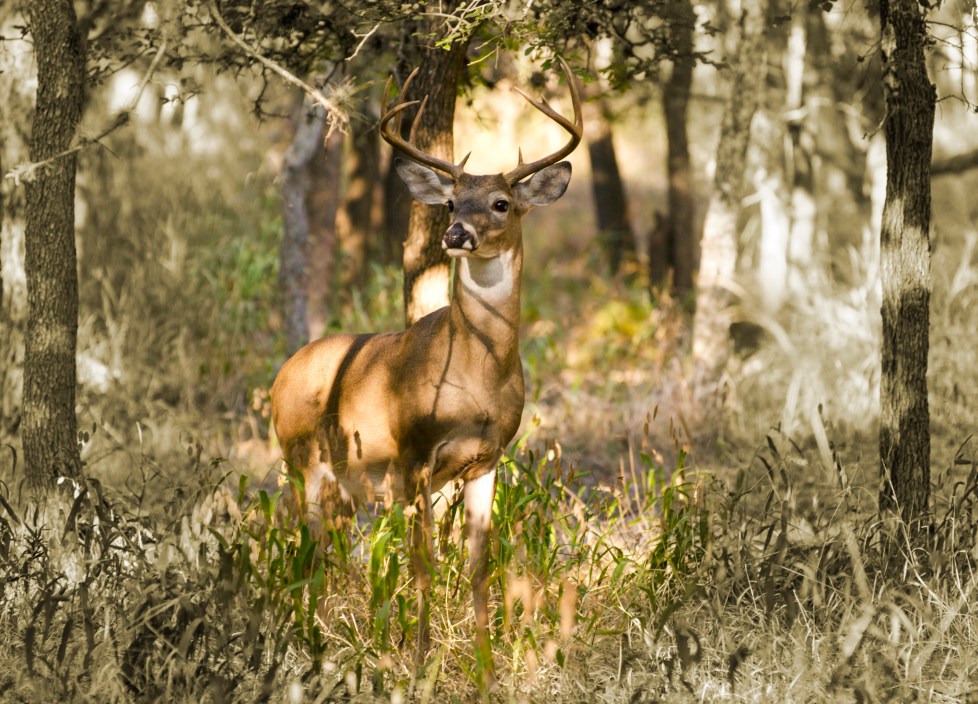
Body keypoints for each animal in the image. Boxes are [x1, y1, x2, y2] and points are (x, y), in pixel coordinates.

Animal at [269, 57, 582, 684]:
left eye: (501, 203)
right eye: (451, 203)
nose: (456, 235)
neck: (479, 381)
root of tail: (278, 377)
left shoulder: (488, 458)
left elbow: (480, 567)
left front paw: (486, 672)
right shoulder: (413, 454)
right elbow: (424, 565)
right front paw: (418, 666)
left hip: (347, 480)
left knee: (328, 553)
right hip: (302, 460)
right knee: (307, 552)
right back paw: (313, 645)